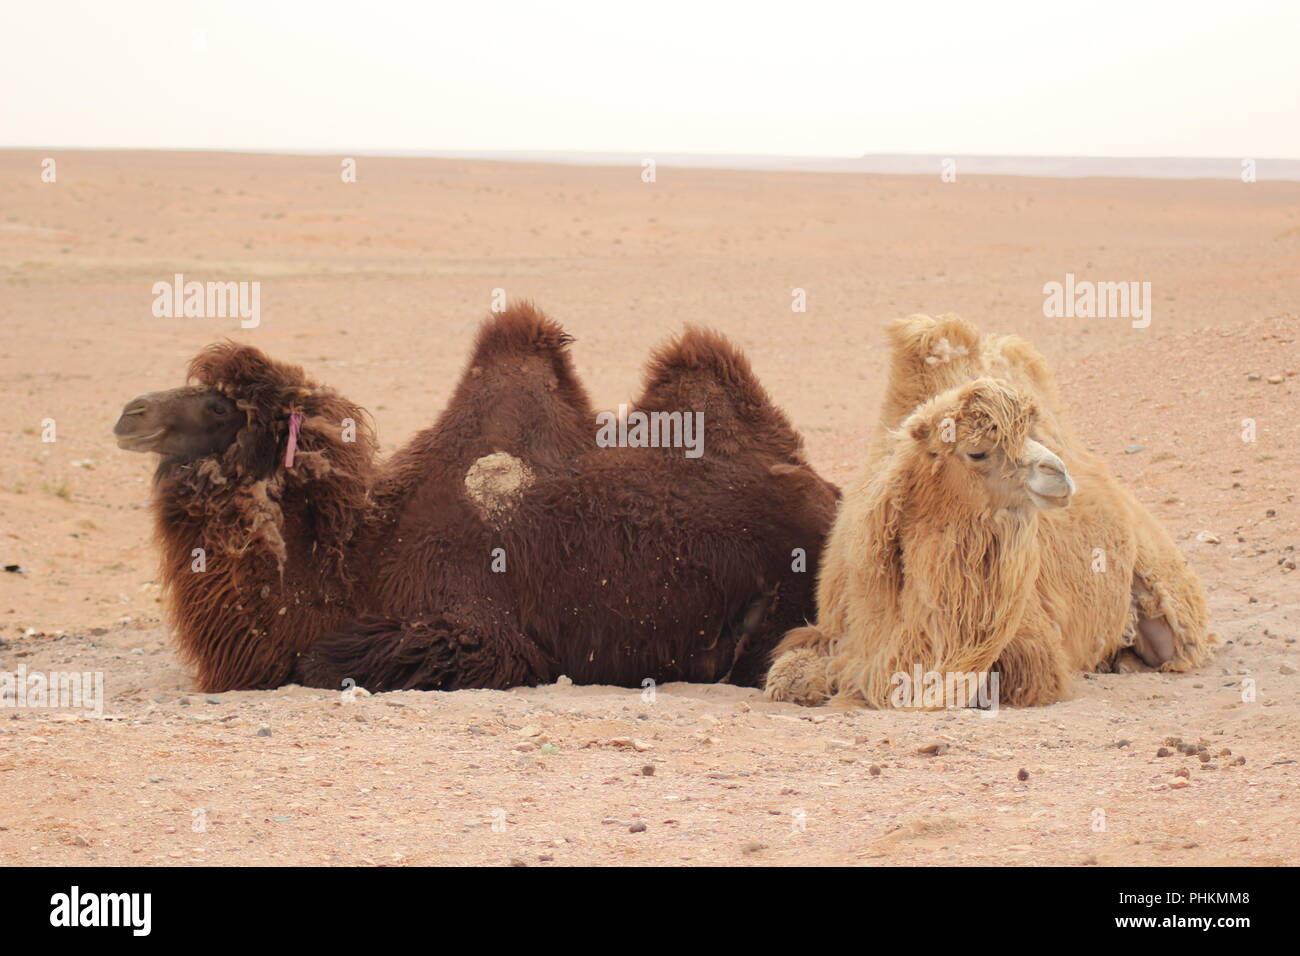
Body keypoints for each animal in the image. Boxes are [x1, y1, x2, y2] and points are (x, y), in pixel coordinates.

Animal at [765, 313, 1213, 709]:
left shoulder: (1031, 649)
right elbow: (789, 677)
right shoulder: (832, 629)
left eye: (1032, 436)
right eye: (977, 452)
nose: (1059, 475)